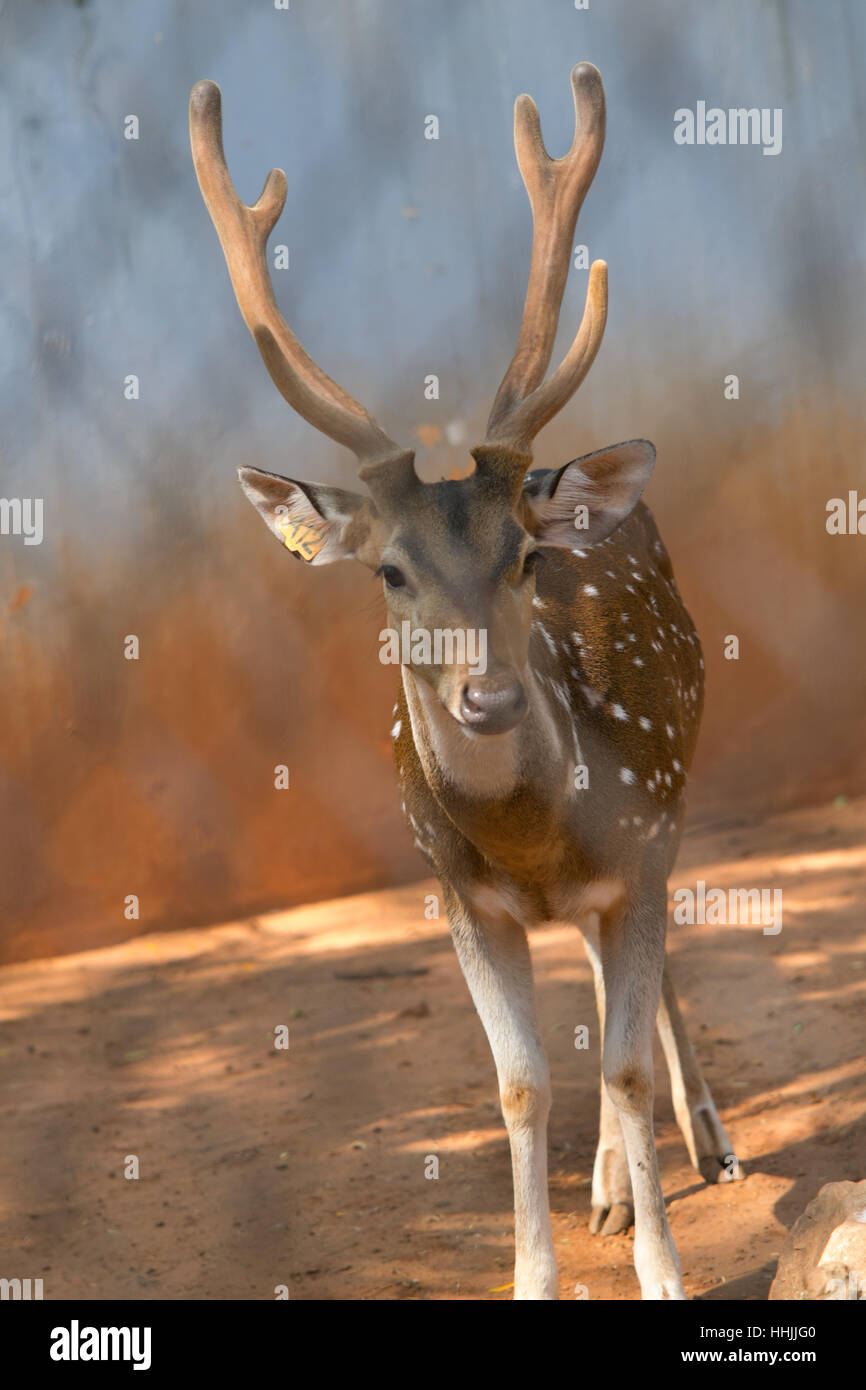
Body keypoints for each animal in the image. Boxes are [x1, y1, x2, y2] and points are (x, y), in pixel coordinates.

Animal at [190, 62, 740, 1301]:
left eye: (525, 557)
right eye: (388, 571)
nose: (487, 697)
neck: (533, 845)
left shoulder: (640, 839)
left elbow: (623, 1065)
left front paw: (665, 1270)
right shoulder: (457, 896)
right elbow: (520, 1082)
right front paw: (539, 1269)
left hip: (673, 799)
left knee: (642, 991)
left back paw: (708, 1142)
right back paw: (603, 1188)